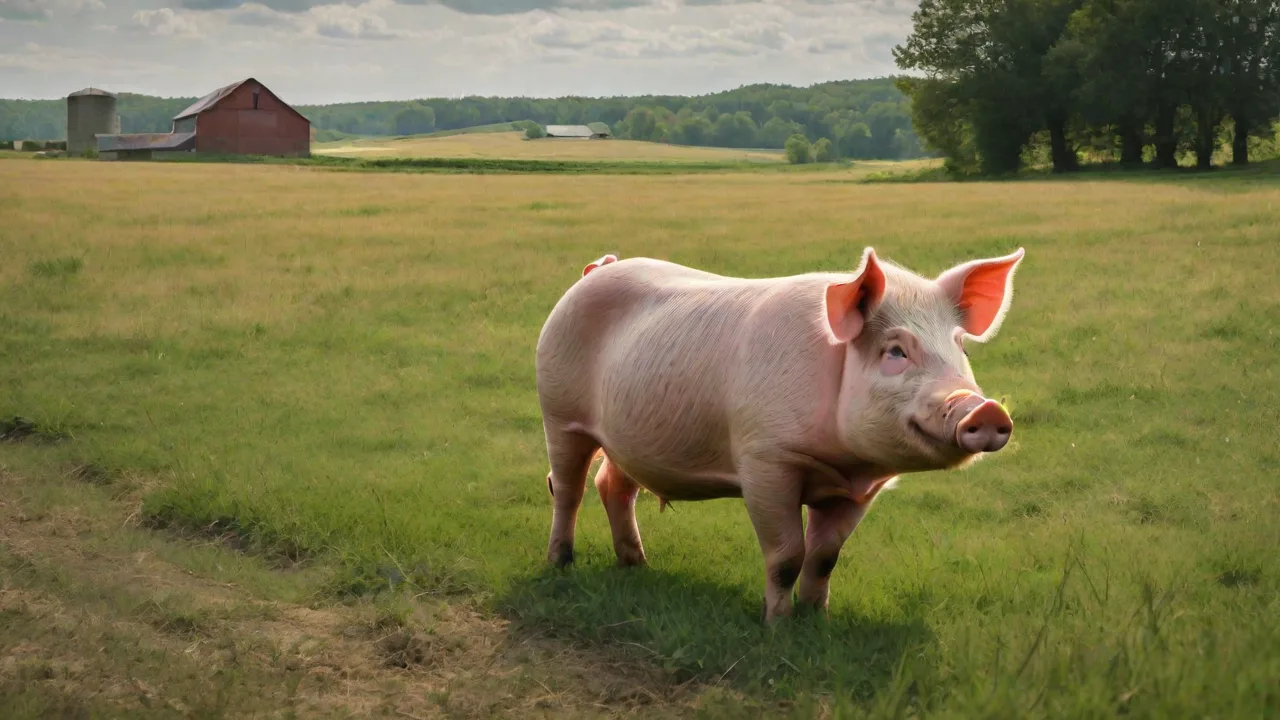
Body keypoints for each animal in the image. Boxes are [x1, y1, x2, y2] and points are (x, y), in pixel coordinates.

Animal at [535, 246, 1024, 623]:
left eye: (960, 349)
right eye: (896, 351)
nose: (986, 407)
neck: (847, 464)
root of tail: (598, 269)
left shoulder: (859, 490)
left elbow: (825, 557)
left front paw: (818, 620)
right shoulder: (765, 461)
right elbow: (787, 555)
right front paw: (777, 626)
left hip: (626, 438)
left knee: (613, 486)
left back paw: (637, 565)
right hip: (558, 411)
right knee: (566, 488)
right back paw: (560, 564)